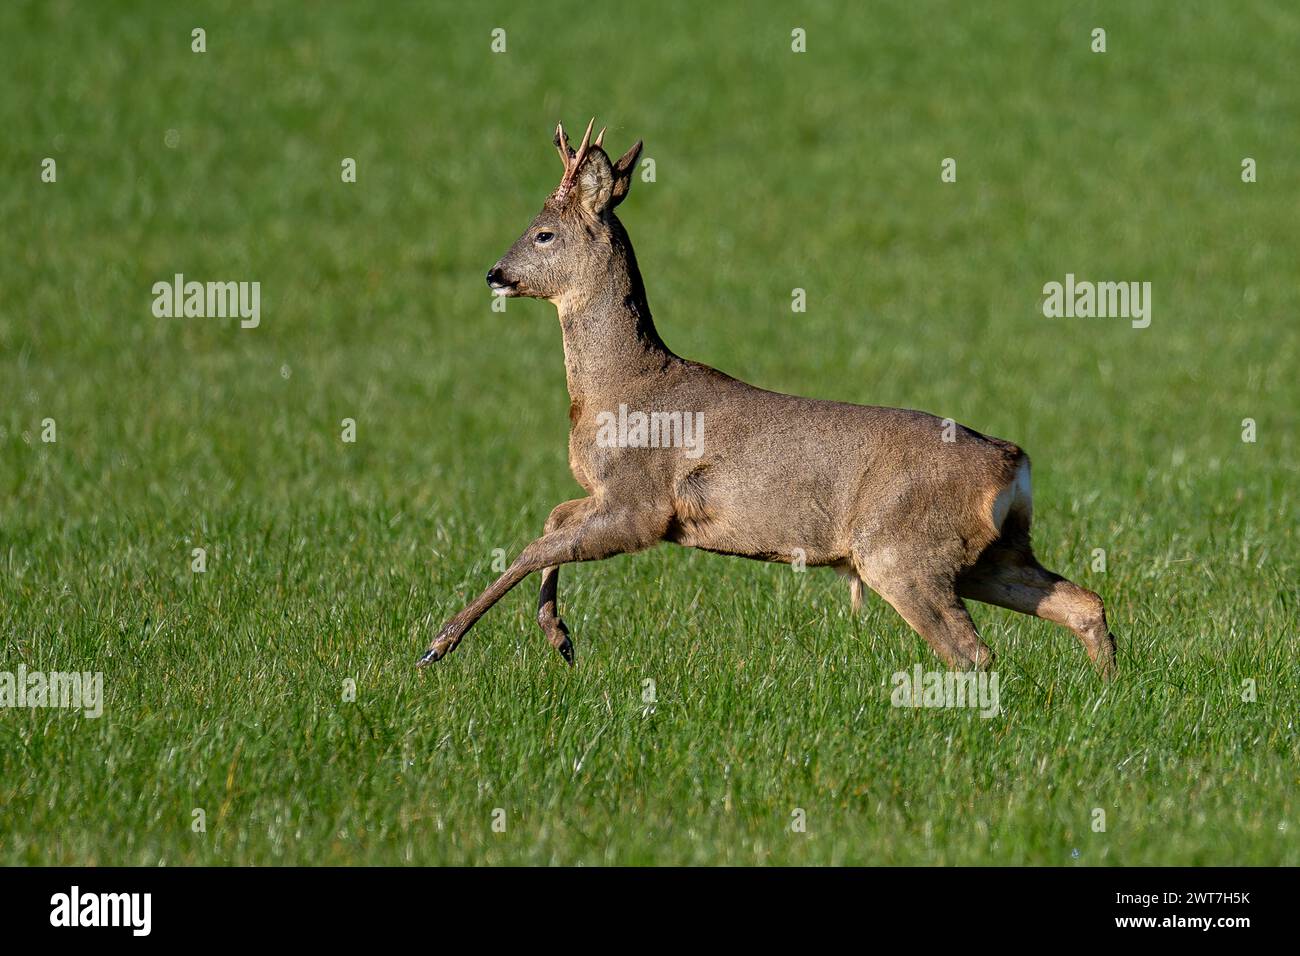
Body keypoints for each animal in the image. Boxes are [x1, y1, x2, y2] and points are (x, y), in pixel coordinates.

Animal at [417, 118, 1118, 679]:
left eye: (542, 234)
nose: (493, 274)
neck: (620, 386)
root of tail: (1013, 462)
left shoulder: (644, 503)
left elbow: (537, 542)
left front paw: (437, 645)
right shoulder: (611, 496)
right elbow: (552, 520)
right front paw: (559, 638)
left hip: (902, 550)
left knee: (971, 650)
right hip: (990, 551)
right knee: (1082, 602)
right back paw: (1106, 692)